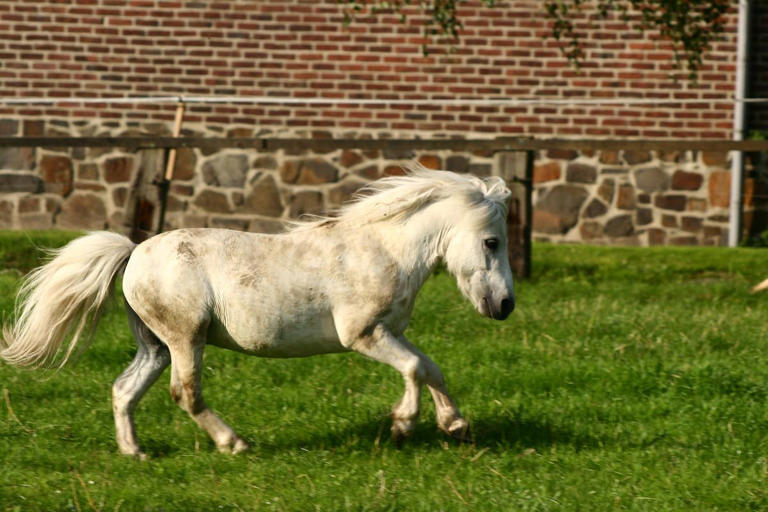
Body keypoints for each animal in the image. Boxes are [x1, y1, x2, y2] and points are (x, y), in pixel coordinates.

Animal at [0, 167, 515, 458]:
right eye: (492, 242)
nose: (505, 305)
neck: (382, 250)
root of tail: (133, 252)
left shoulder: (390, 331)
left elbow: (431, 368)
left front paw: (456, 426)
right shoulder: (364, 334)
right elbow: (413, 368)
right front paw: (403, 425)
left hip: (156, 346)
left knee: (124, 391)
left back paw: (136, 454)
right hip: (186, 338)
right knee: (185, 393)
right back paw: (235, 444)